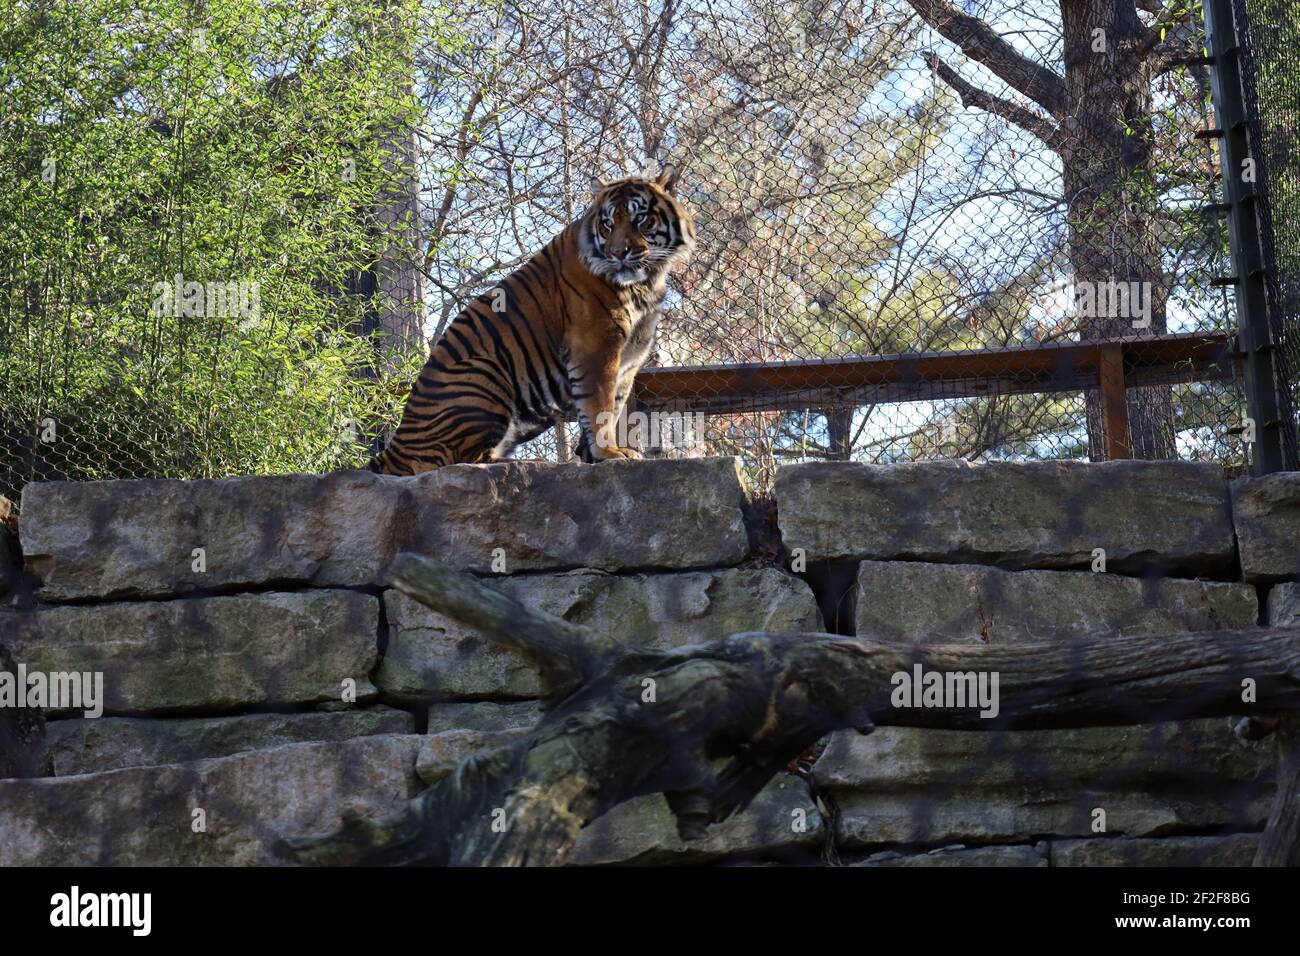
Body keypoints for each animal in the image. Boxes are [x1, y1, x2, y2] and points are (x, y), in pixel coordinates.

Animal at [368, 165, 695, 475]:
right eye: (608, 224)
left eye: (641, 219)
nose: (619, 253)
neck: (646, 282)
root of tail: (392, 453)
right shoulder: (595, 348)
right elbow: (599, 407)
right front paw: (609, 454)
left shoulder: (630, 357)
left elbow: (614, 407)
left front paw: (596, 455)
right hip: (486, 371)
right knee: (465, 461)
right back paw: (526, 462)